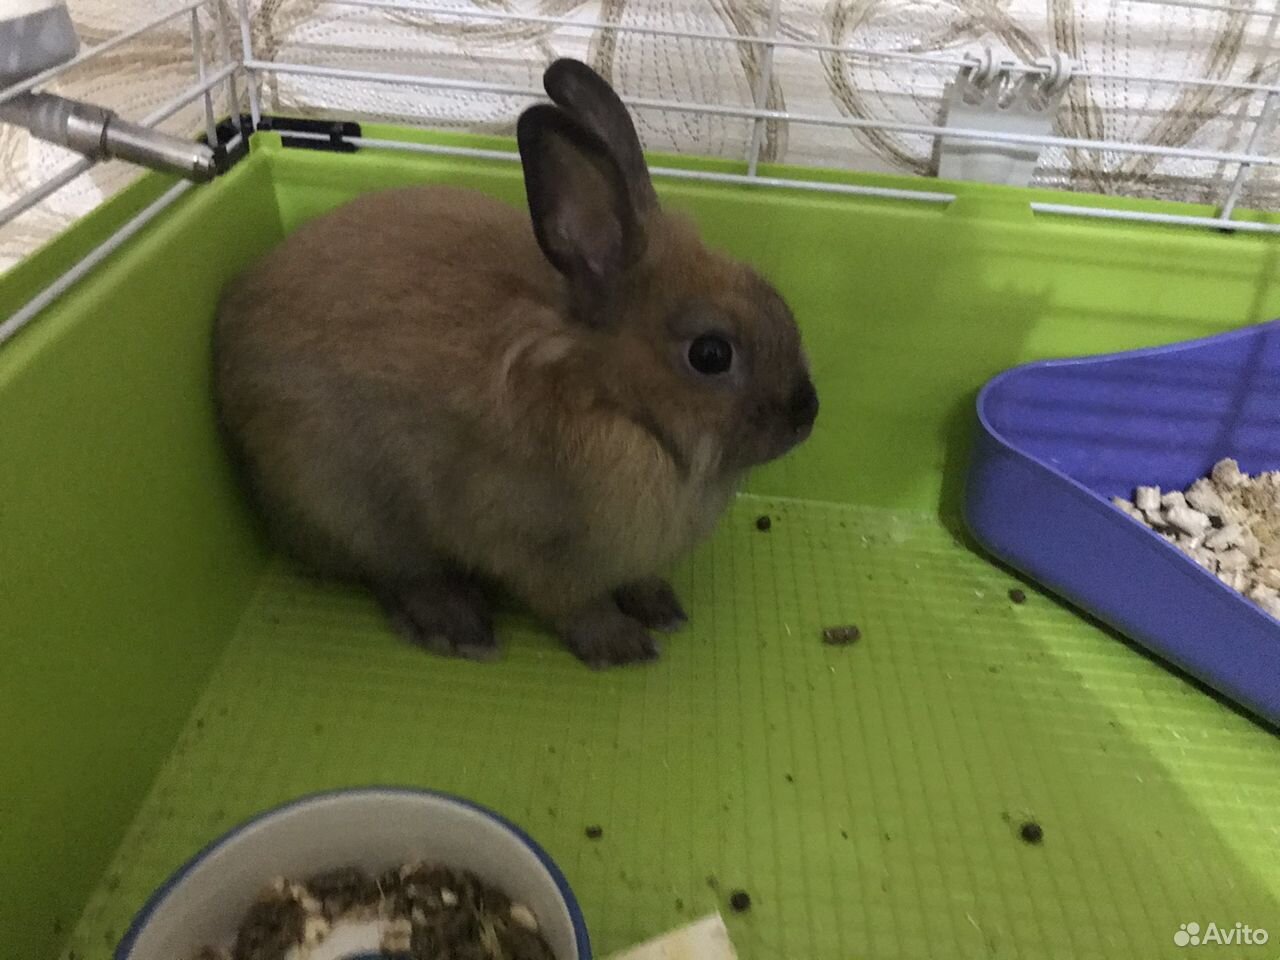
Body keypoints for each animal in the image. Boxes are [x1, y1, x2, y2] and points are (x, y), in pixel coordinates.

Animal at [213, 58, 818, 668]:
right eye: (711, 354)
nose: (806, 414)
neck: (609, 400)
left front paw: (661, 606)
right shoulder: (531, 551)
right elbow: (572, 605)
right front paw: (621, 645)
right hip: (347, 508)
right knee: (395, 574)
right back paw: (457, 626)